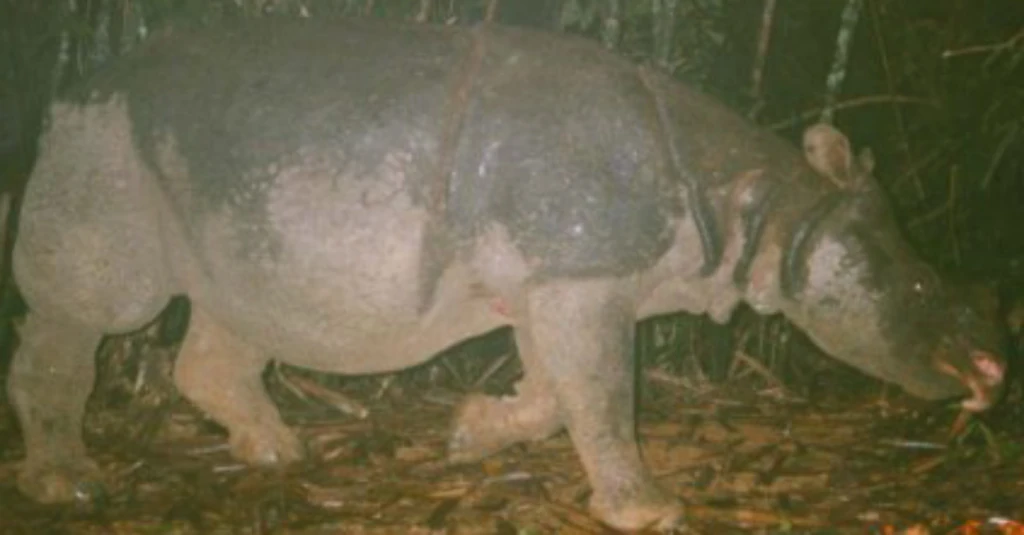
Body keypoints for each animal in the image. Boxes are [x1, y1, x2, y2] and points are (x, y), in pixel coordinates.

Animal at [5, 18, 1005, 531]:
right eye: (921, 290)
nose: (994, 370)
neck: (766, 207)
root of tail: (61, 97)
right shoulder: (583, 273)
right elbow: (601, 392)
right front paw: (652, 510)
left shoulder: (554, 277)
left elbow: (560, 392)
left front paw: (466, 434)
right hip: (103, 147)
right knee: (95, 311)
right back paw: (72, 485)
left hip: (217, 181)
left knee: (235, 307)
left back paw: (278, 452)